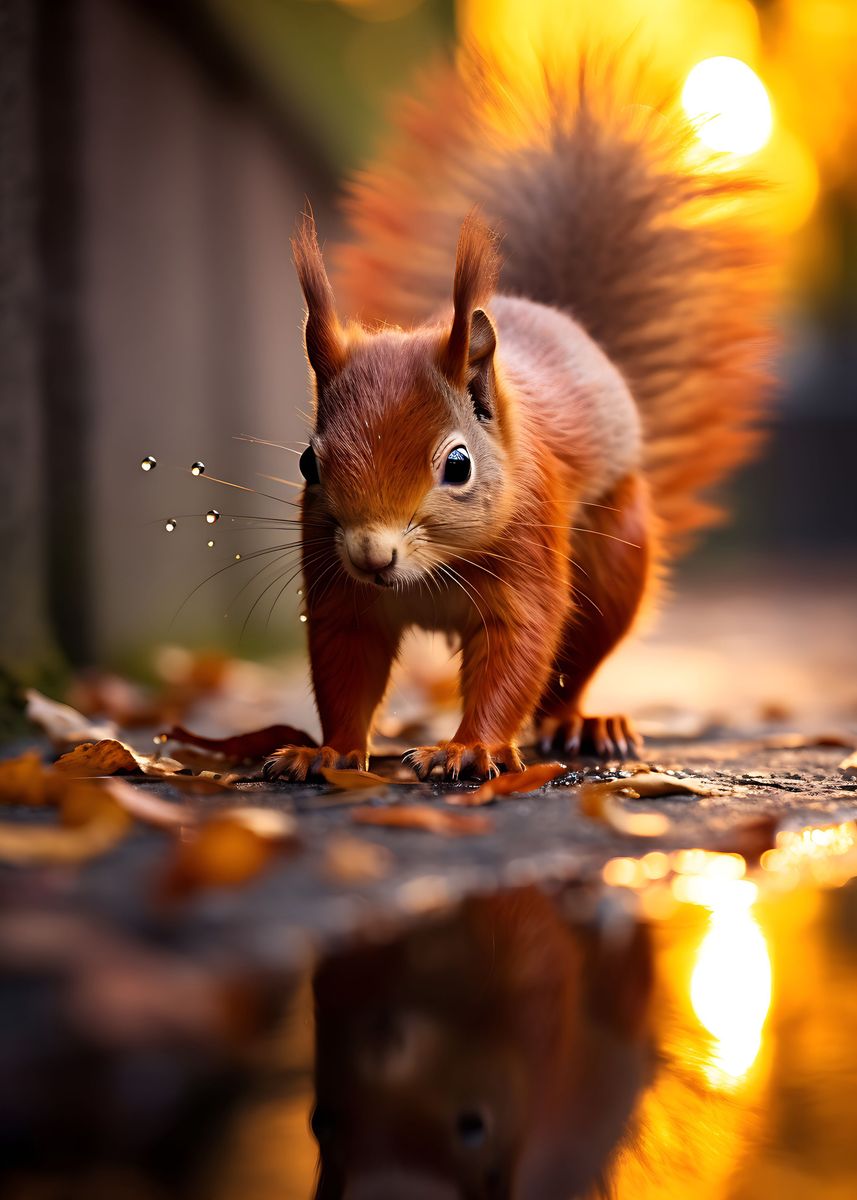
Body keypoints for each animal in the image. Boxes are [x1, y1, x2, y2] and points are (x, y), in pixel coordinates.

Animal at [265, 51, 774, 782]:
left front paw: (468, 749)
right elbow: (345, 668)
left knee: (569, 672)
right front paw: (327, 752)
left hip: (611, 567)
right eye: (309, 462)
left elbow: (519, 649)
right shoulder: (339, 587)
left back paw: (585, 725)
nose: (371, 553)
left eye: (458, 464)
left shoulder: (529, 547)